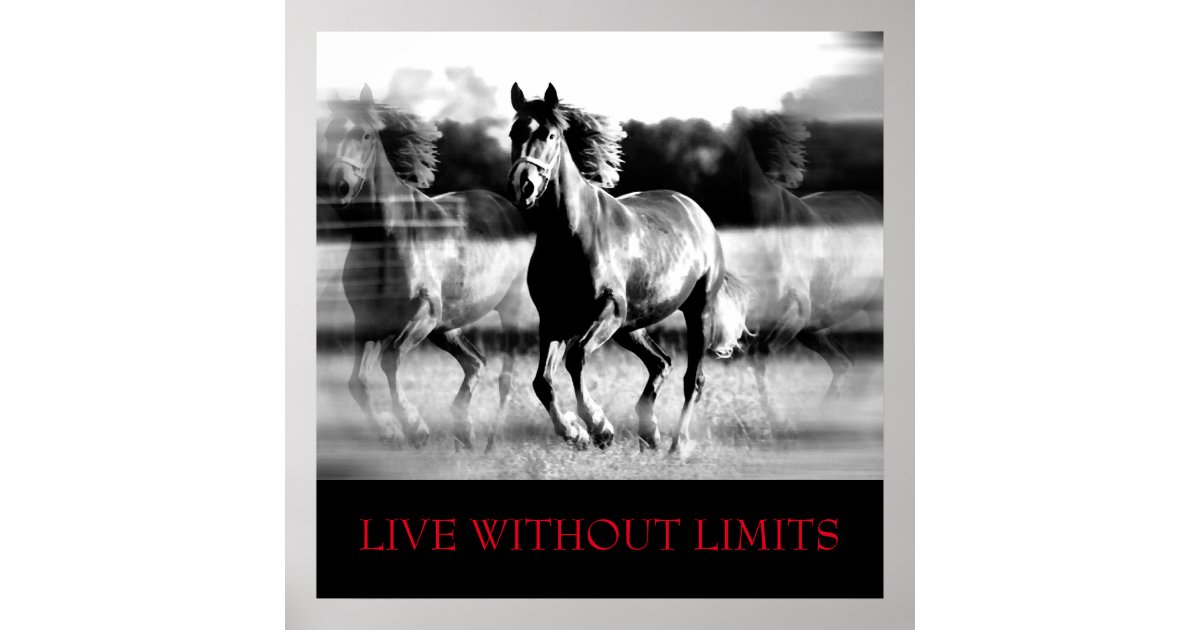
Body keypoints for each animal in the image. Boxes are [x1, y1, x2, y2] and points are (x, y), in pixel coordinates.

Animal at [319, 84, 534, 450]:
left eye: (364, 134)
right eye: (328, 133)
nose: (339, 187)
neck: (386, 237)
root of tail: (507, 206)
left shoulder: (424, 313)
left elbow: (391, 358)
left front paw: (414, 426)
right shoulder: (368, 322)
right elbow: (357, 382)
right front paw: (391, 431)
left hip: (507, 310)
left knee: (505, 376)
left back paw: (490, 441)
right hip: (447, 327)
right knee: (476, 362)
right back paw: (465, 430)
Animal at [507, 83, 751, 456]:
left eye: (550, 134)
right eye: (513, 133)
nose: (525, 186)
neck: (572, 235)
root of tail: (697, 212)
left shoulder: (607, 311)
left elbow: (576, 358)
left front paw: (598, 427)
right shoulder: (553, 320)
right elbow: (542, 382)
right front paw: (574, 432)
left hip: (695, 312)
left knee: (693, 379)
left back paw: (677, 445)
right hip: (631, 326)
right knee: (661, 363)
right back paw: (649, 432)